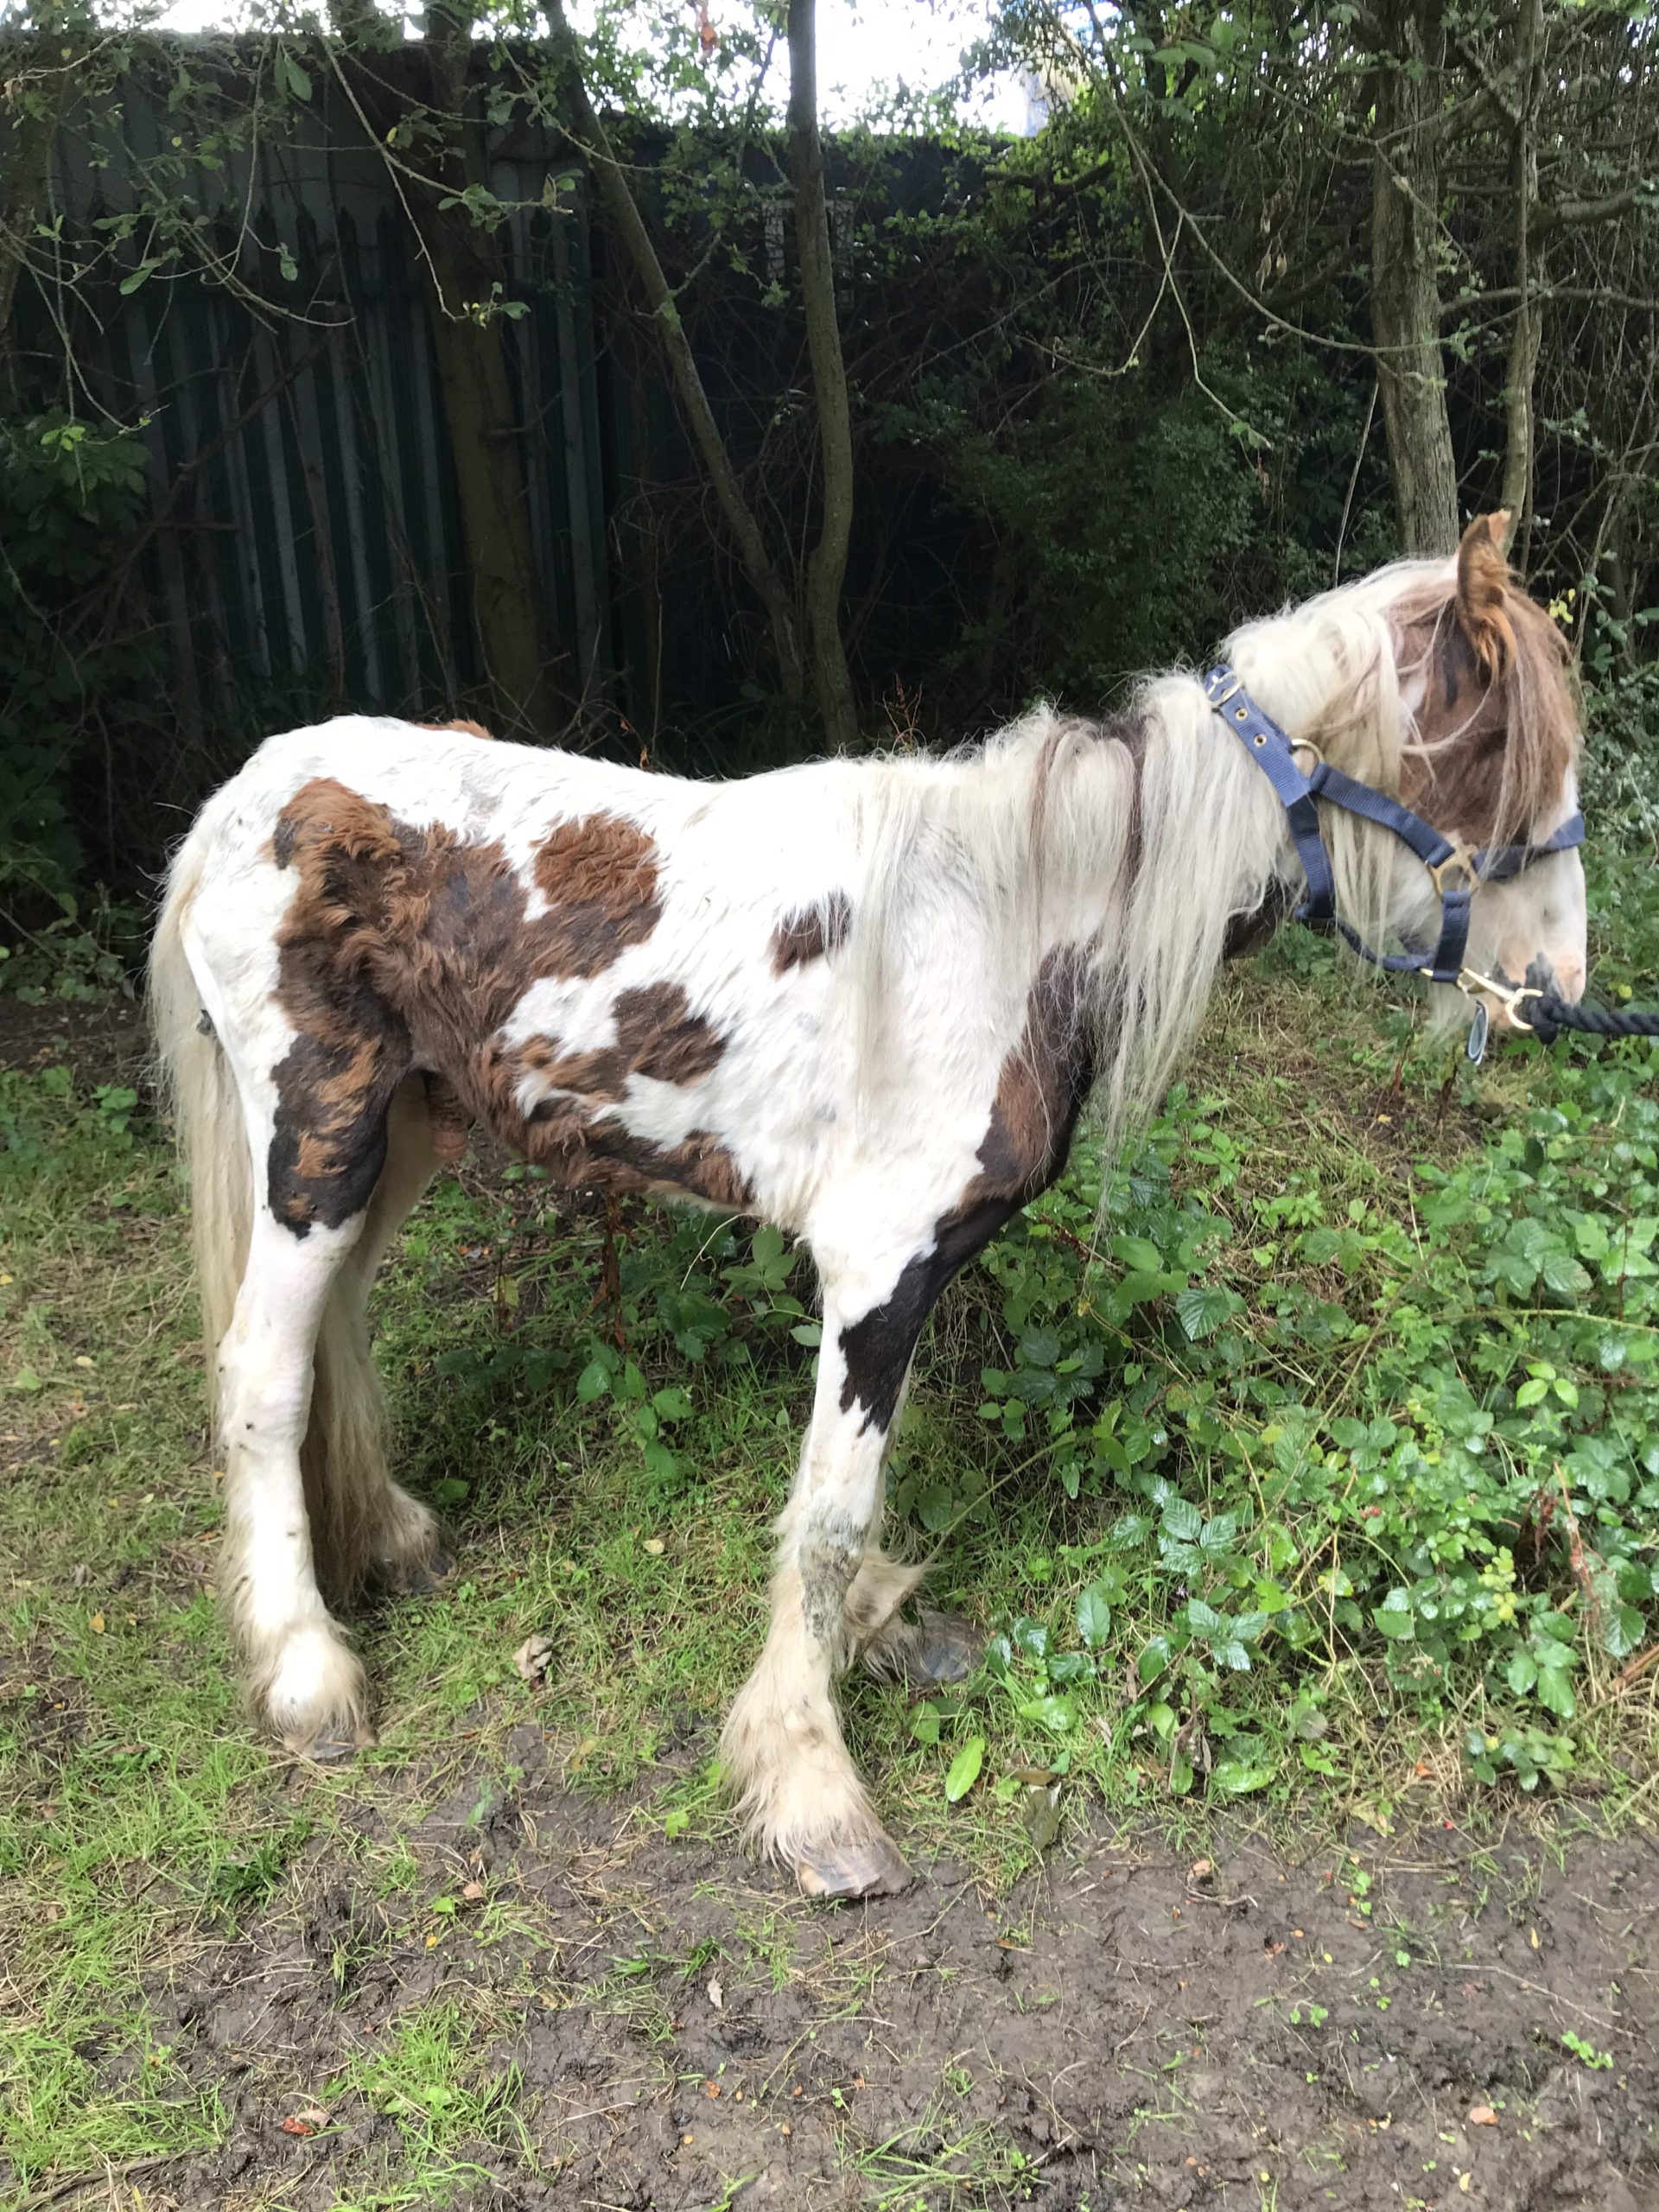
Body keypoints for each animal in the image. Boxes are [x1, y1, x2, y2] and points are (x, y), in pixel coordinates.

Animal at [149, 512, 1588, 1900]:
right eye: (1506, 756)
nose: (1560, 992)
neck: (1011, 922)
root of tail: (240, 802)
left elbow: (854, 1514)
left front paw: (880, 1636)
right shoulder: (876, 1271)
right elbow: (833, 1518)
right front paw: (809, 1784)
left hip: (397, 1136)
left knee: (331, 1345)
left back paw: (386, 1537)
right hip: (317, 1146)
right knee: (265, 1375)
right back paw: (306, 1671)